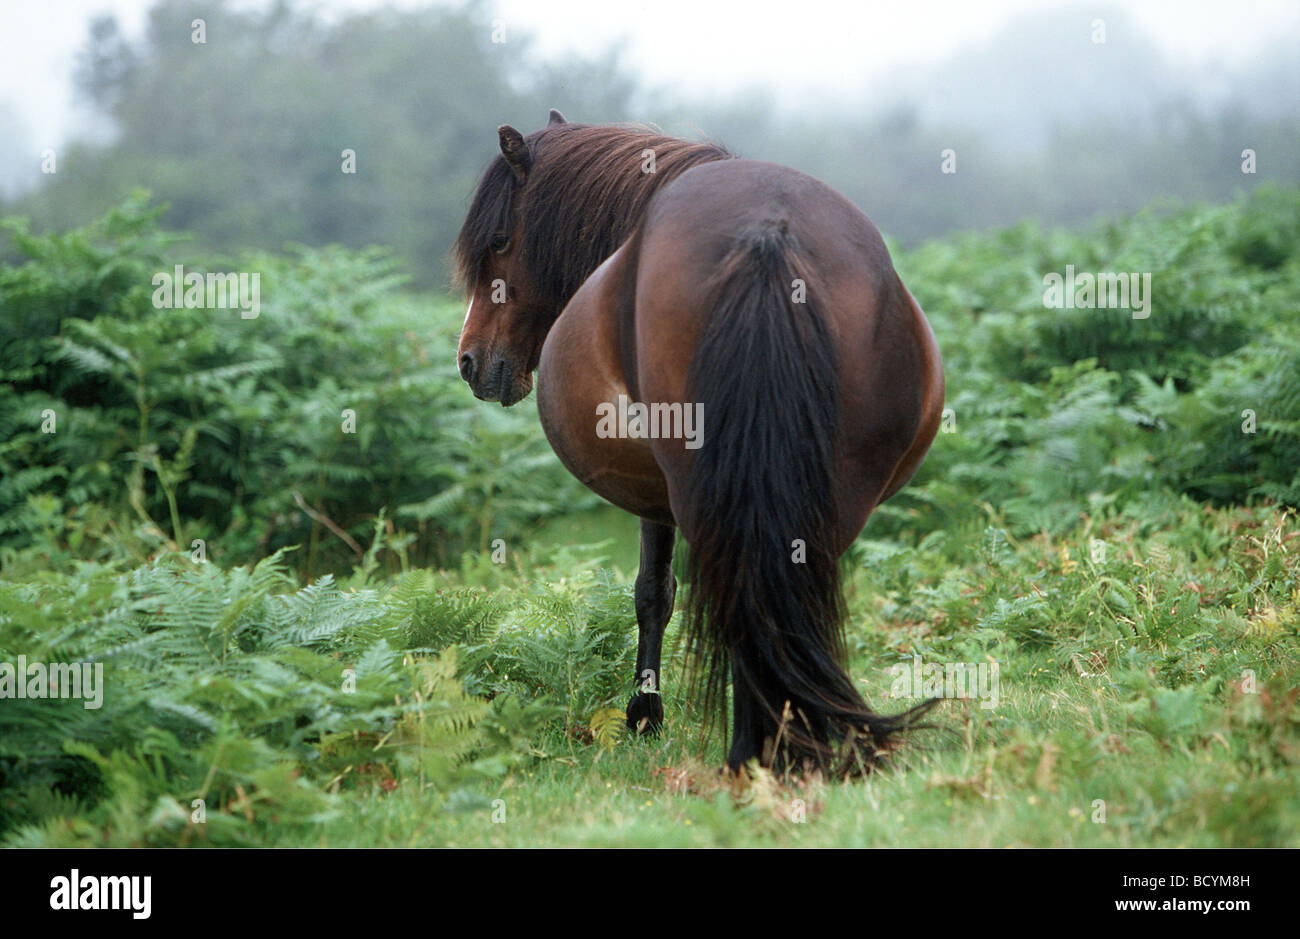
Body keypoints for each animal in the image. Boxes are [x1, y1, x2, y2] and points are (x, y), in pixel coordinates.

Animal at [454, 109, 944, 773]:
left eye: (501, 242)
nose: (470, 361)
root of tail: (769, 235)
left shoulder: (658, 496)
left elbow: (653, 592)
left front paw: (645, 714)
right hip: (838, 493)